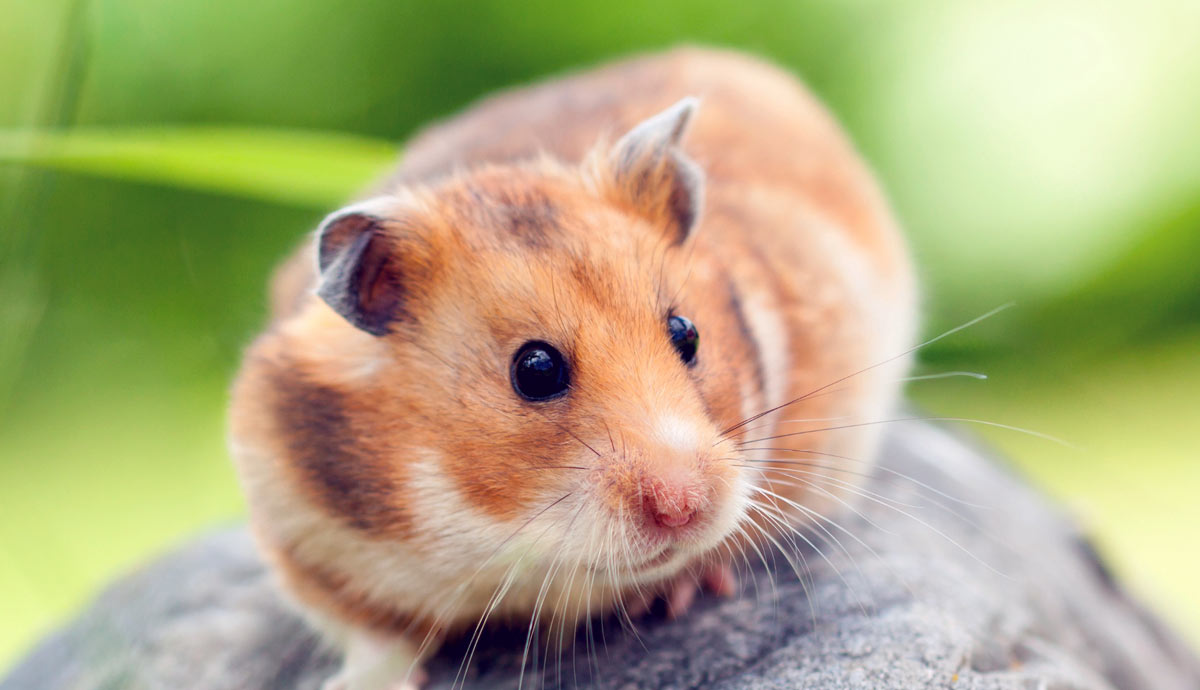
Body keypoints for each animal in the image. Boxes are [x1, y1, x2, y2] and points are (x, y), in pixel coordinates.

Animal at [228, 47, 916, 690]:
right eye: (534, 369)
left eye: (686, 333)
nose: (684, 508)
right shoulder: (295, 526)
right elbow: (366, 632)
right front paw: (369, 681)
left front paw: (681, 590)